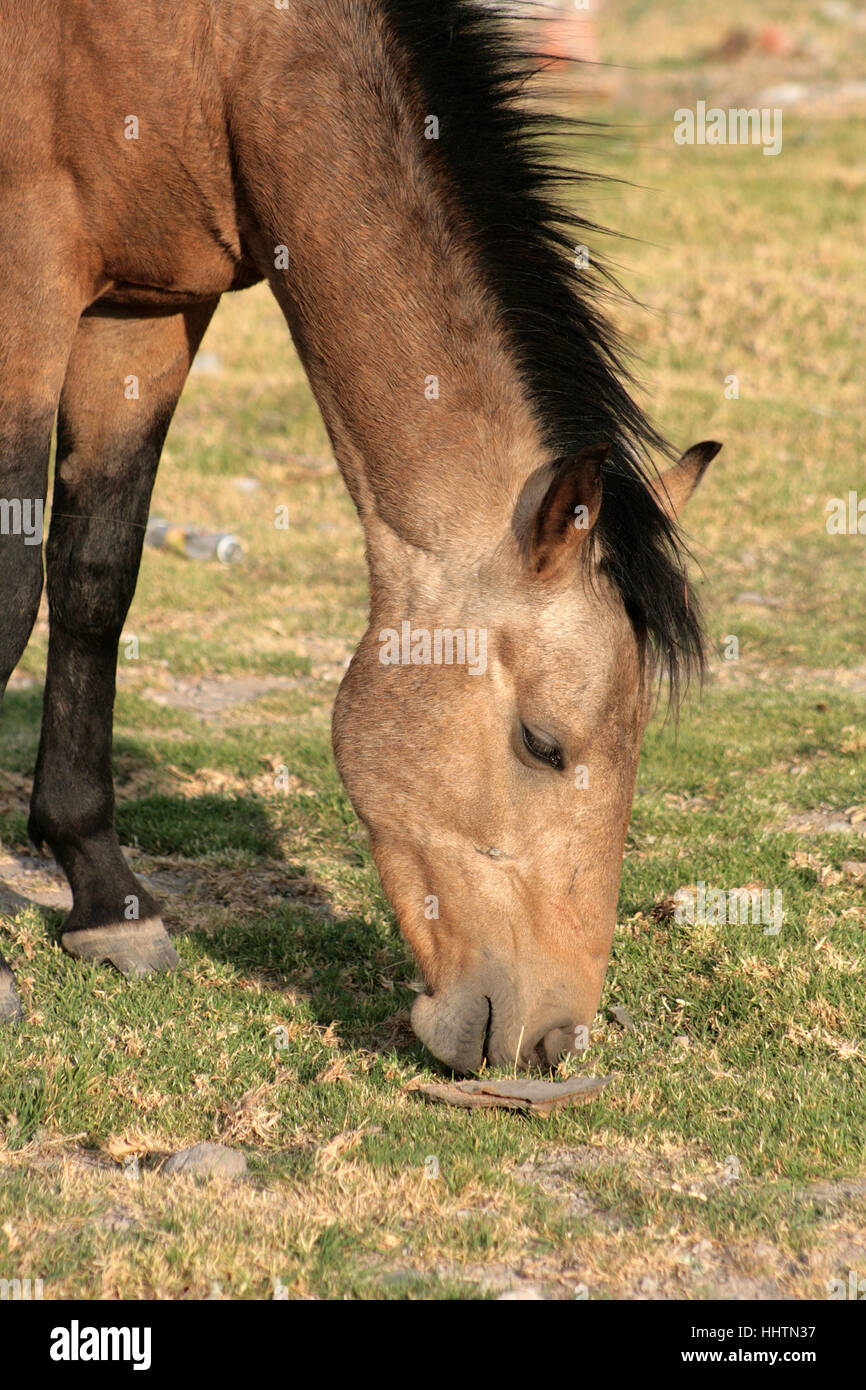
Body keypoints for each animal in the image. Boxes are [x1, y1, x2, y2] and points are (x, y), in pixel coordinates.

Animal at [0, 0, 719, 1071]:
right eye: (542, 745)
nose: (555, 1041)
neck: (227, 57)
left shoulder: (148, 309)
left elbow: (96, 573)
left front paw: (105, 900)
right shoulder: (26, 288)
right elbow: (13, 598)